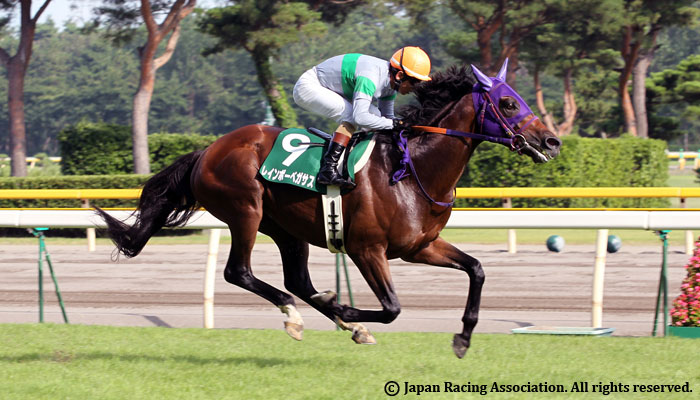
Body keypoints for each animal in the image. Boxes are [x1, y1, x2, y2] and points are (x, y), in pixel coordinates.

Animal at [96, 60, 561, 358]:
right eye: (508, 104)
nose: (552, 141)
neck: (413, 171)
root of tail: (208, 149)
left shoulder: (421, 246)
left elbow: (477, 269)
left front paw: (462, 339)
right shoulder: (366, 249)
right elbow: (392, 308)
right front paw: (347, 311)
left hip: (286, 228)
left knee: (298, 281)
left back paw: (335, 319)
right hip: (245, 211)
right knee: (239, 272)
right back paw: (303, 317)